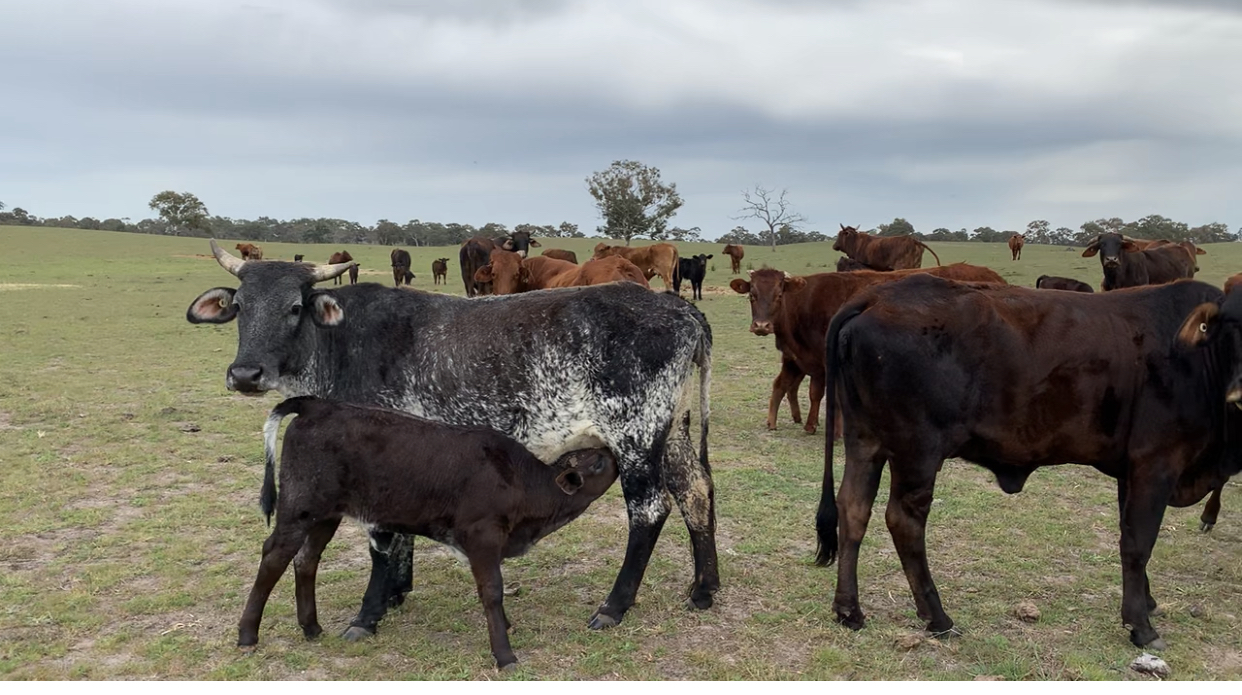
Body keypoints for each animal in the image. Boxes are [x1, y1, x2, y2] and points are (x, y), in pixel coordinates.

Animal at [186, 240, 717, 638]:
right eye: (239, 307)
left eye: (295, 307)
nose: (245, 374)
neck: (341, 343)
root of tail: (674, 305)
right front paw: (397, 593)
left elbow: (383, 539)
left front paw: (369, 613)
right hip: (673, 429)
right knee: (697, 492)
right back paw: (704, 589)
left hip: (636, 434)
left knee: (649, 510)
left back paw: (614, 606)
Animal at [239, 396, 618, 670]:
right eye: (597, 462)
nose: (613, 451)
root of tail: (317, 404)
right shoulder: (482, 536)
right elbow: (492, 591)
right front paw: (505, 655)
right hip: (298, 507)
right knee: (274, 555)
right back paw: (247, 635)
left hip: (325, 514)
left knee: (307, 559)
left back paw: (311, 627)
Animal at [730, 263, 1005, 434]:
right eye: (752, 295)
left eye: (779, 295)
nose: (762, 326)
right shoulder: (808, 361)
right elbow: (814, 392)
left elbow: (824, 394)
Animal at [815, 274, 1242, 650]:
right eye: (1235, 328)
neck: (1199, 358)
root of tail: (877, 296)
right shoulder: (1155, 464)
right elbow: (1138, 542)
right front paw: (1140, 624)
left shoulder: (1132, 471)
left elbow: (1131, 535)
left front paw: (1146, 603)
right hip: (917, 452)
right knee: (904, 522)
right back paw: (937, 617)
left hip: (865, 442)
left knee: (853, 510)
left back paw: (849, 610)